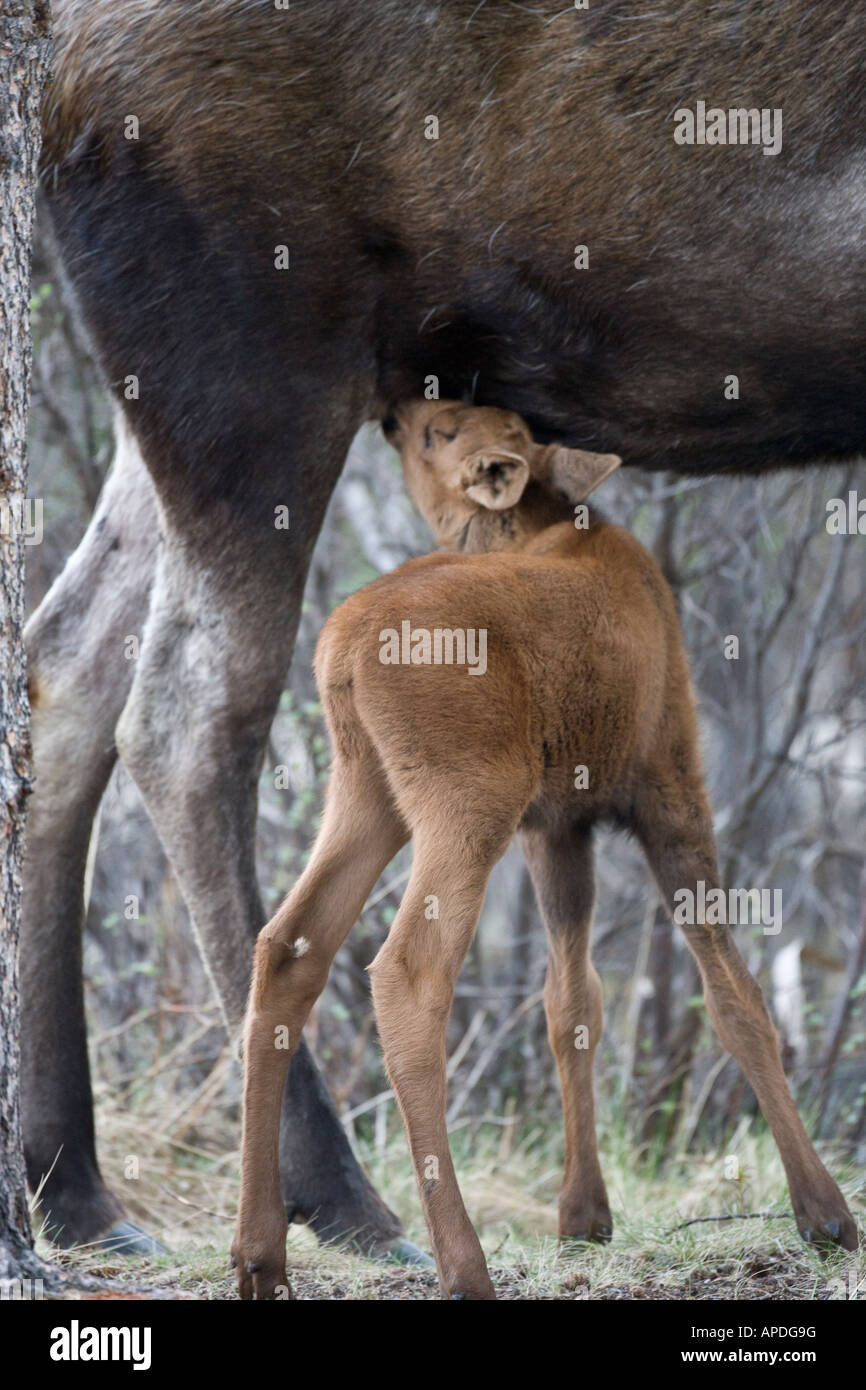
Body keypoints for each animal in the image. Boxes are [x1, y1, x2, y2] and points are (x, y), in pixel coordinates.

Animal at [232, 400, 858, 1300]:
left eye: (449, 426)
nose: (396, 411)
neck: (542, 522)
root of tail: (337, 648)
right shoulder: (669, 780)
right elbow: (736, 999)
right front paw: (824, 1213)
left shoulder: (556, 827)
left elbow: (573, 1006)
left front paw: (584, 1214)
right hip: (469, 799)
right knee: (408, 972)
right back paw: (464, 1265)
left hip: (366, 794)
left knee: (287, 945)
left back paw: (258, 1253)